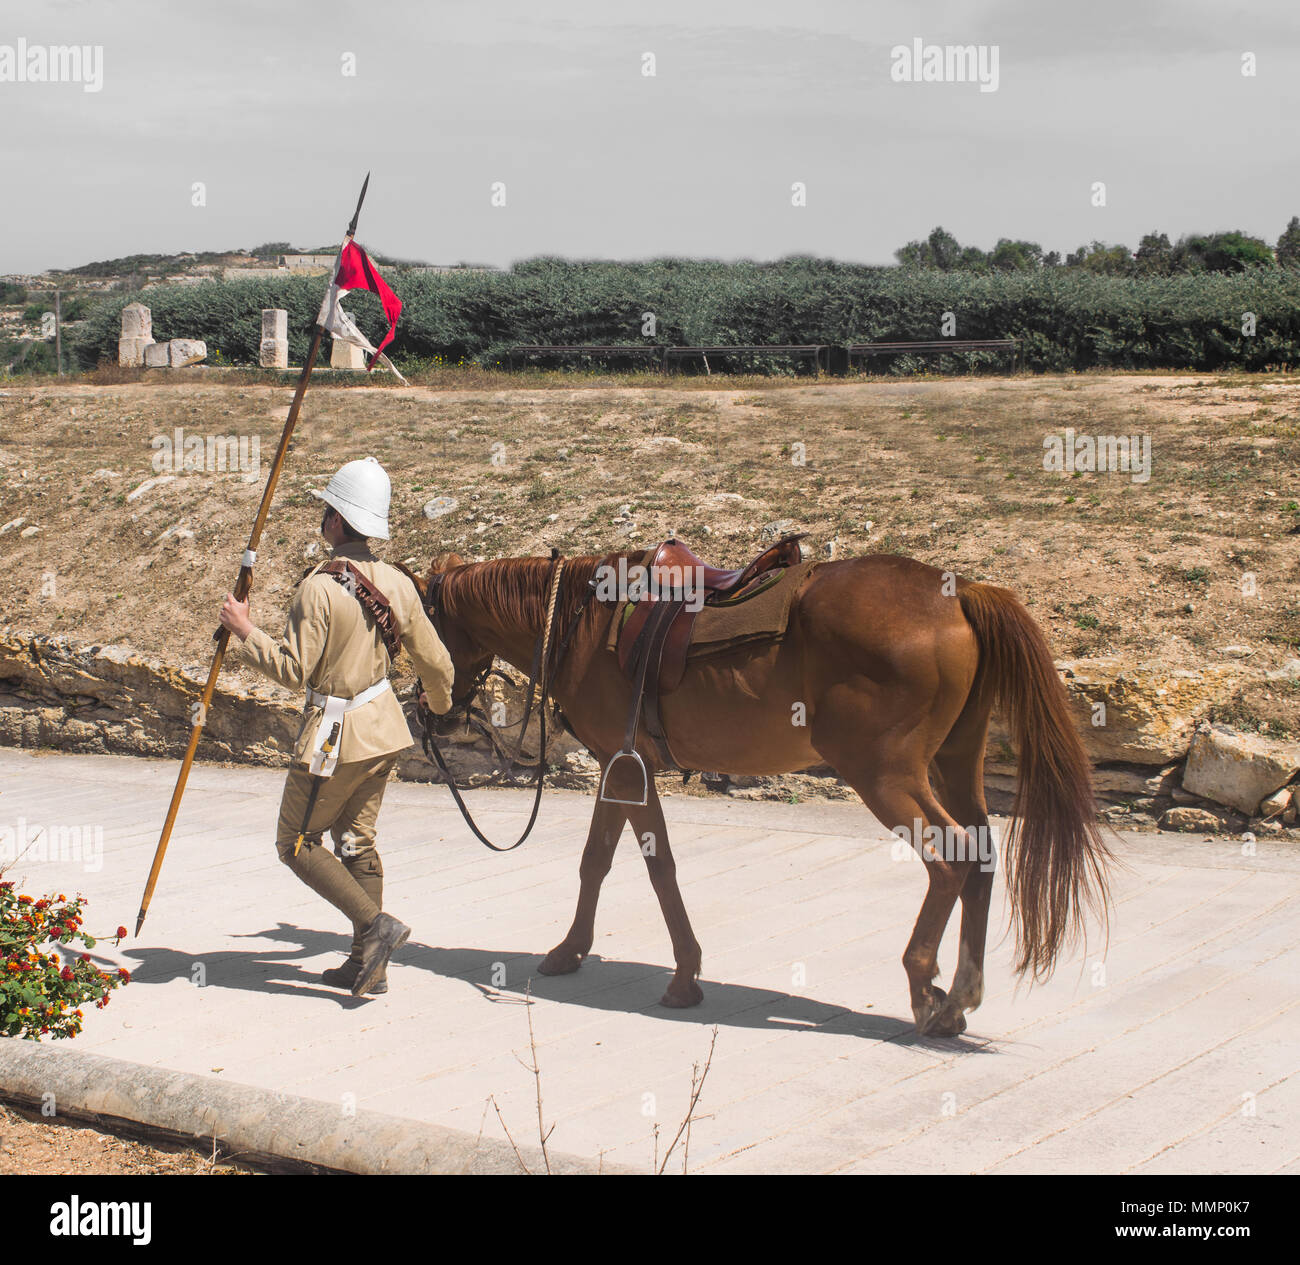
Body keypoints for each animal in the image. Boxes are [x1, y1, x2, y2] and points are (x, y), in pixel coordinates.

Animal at [411, 548, 1111, 1036]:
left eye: (421, 622)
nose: (428, 712)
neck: (583, 625)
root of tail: (961, 593)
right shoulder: (623, 767)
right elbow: (603, 861)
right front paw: (574, 951)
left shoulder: (624, 766)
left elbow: (649, 866)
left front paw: (679, 974)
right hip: (953, 762)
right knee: (984, 855)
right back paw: (964, 989)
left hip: (885, 774)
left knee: (951, 859)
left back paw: (927, 992)